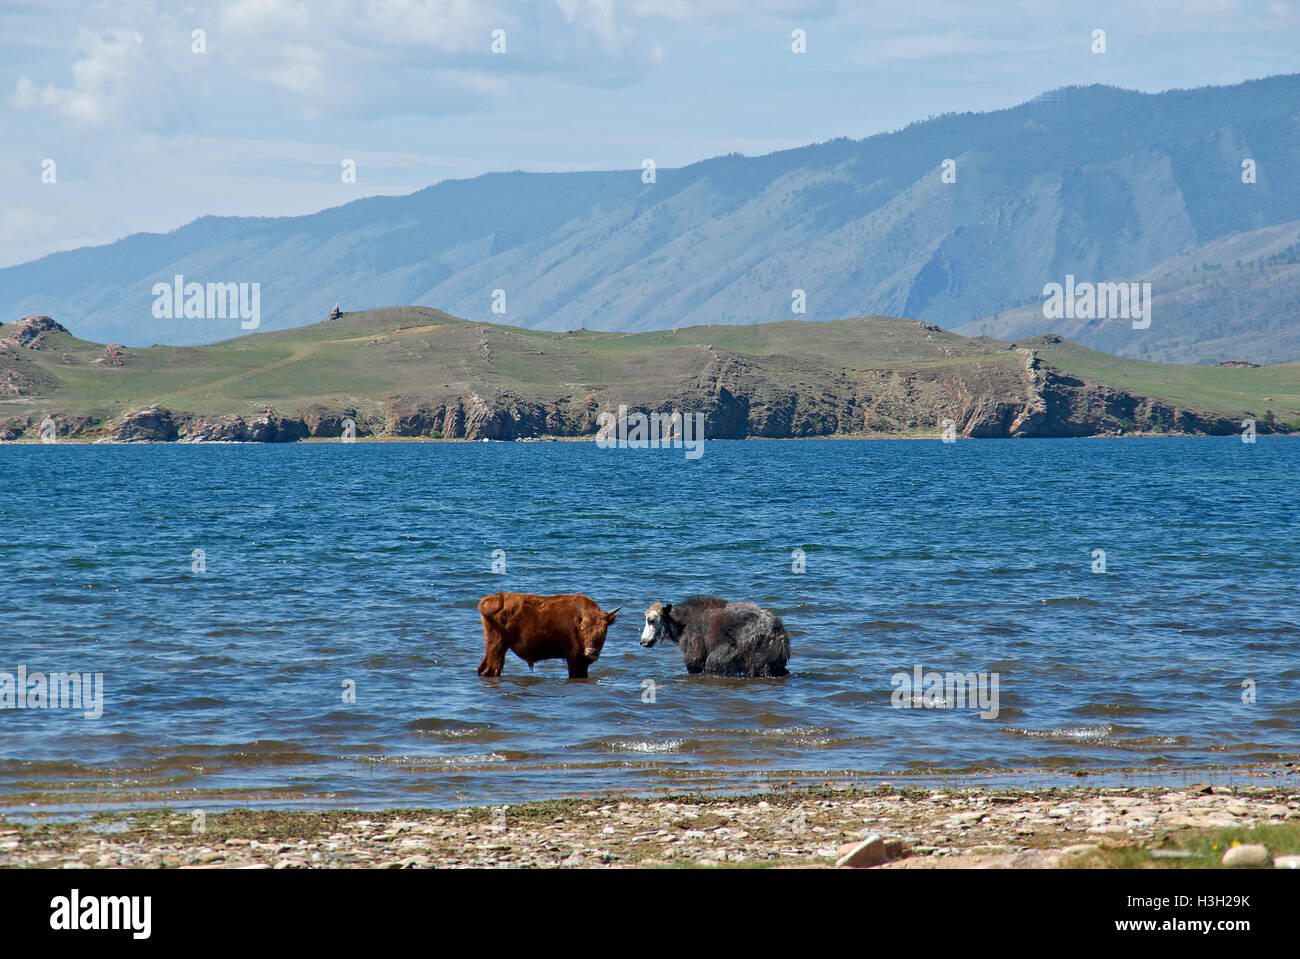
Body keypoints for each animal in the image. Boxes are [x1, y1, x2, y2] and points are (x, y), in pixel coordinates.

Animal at [476, 592, 621, 678]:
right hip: (497, 647)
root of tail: (497, 597)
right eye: (582, 628)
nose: (591, 652)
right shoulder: (574, 658)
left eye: (604, 630)